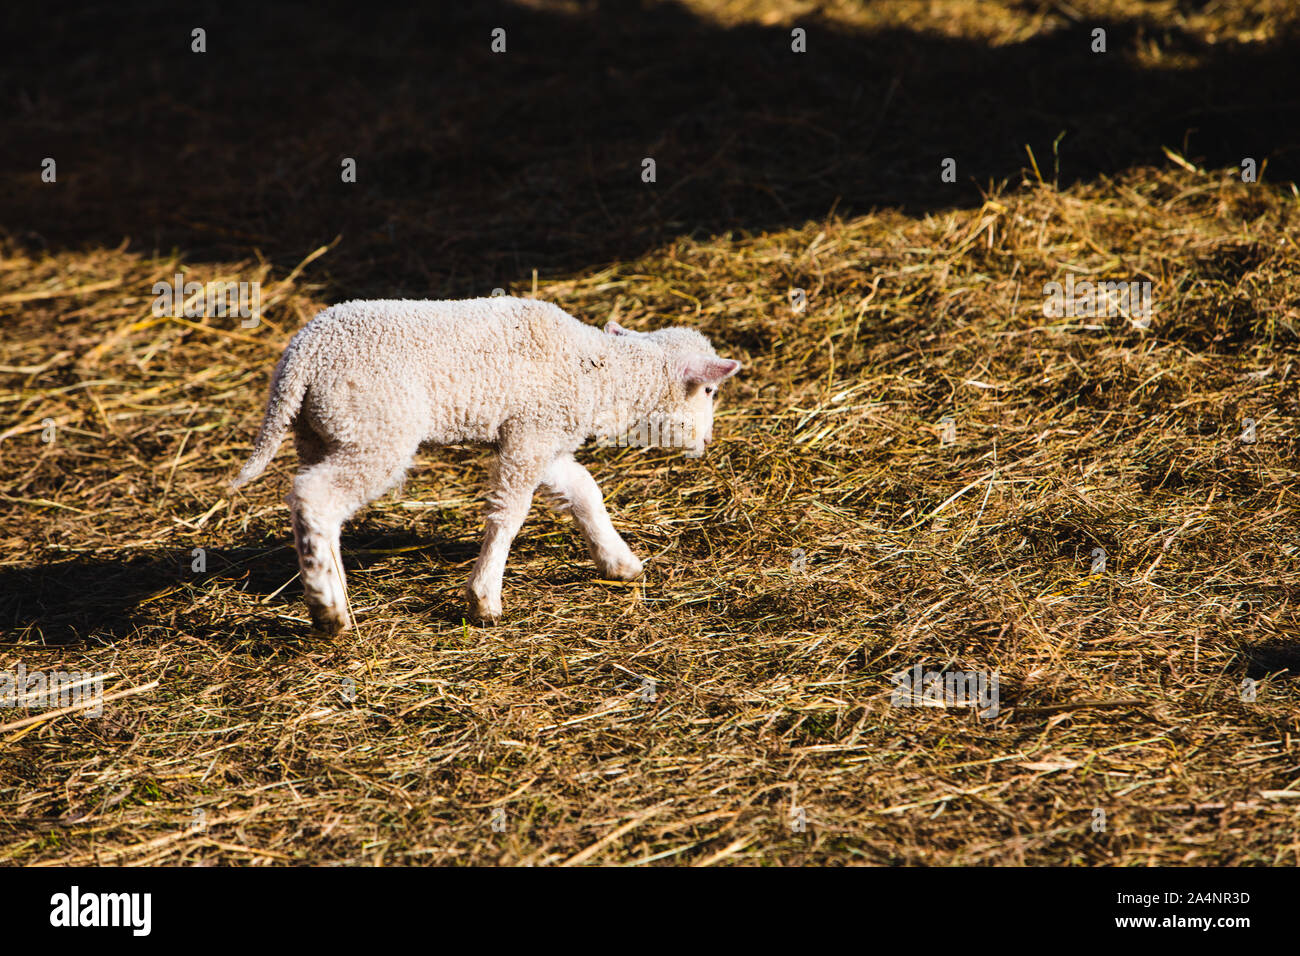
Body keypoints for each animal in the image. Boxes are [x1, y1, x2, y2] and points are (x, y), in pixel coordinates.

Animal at [231, 296, 741, 631]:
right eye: (708, 391)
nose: (708, 440)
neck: (598, 372)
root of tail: (300, 359)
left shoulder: (538, 435)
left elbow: (583, 490)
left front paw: (620, 562)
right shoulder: (532, 433)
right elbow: (509, 513)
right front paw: (484, 598)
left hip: (324, 431)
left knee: (323, 510)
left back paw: (332, 589)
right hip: (379, 427)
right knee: (313, 497)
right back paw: (328, 610)